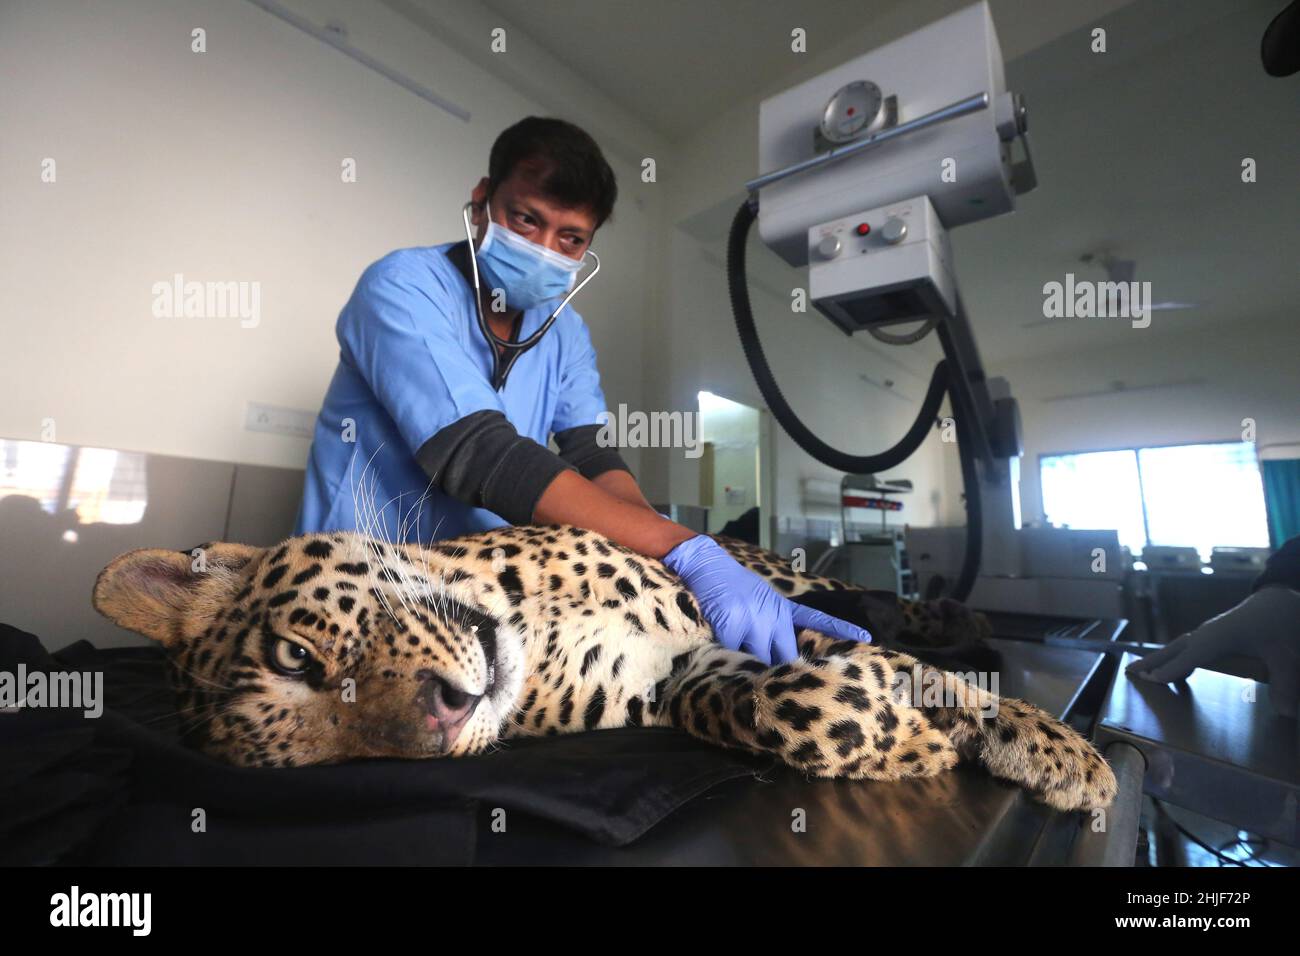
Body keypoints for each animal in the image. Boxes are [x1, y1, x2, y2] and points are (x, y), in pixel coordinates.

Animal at [92, 524, 1117, 812]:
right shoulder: (676, 676)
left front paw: (1062, 754)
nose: (444, 715)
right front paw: (901, 738)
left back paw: (951, 616)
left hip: (786, 573)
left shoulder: (732, 611)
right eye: (349, 760)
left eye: (297, 657)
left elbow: (930, 678)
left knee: (841, 592)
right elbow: (762, 704)